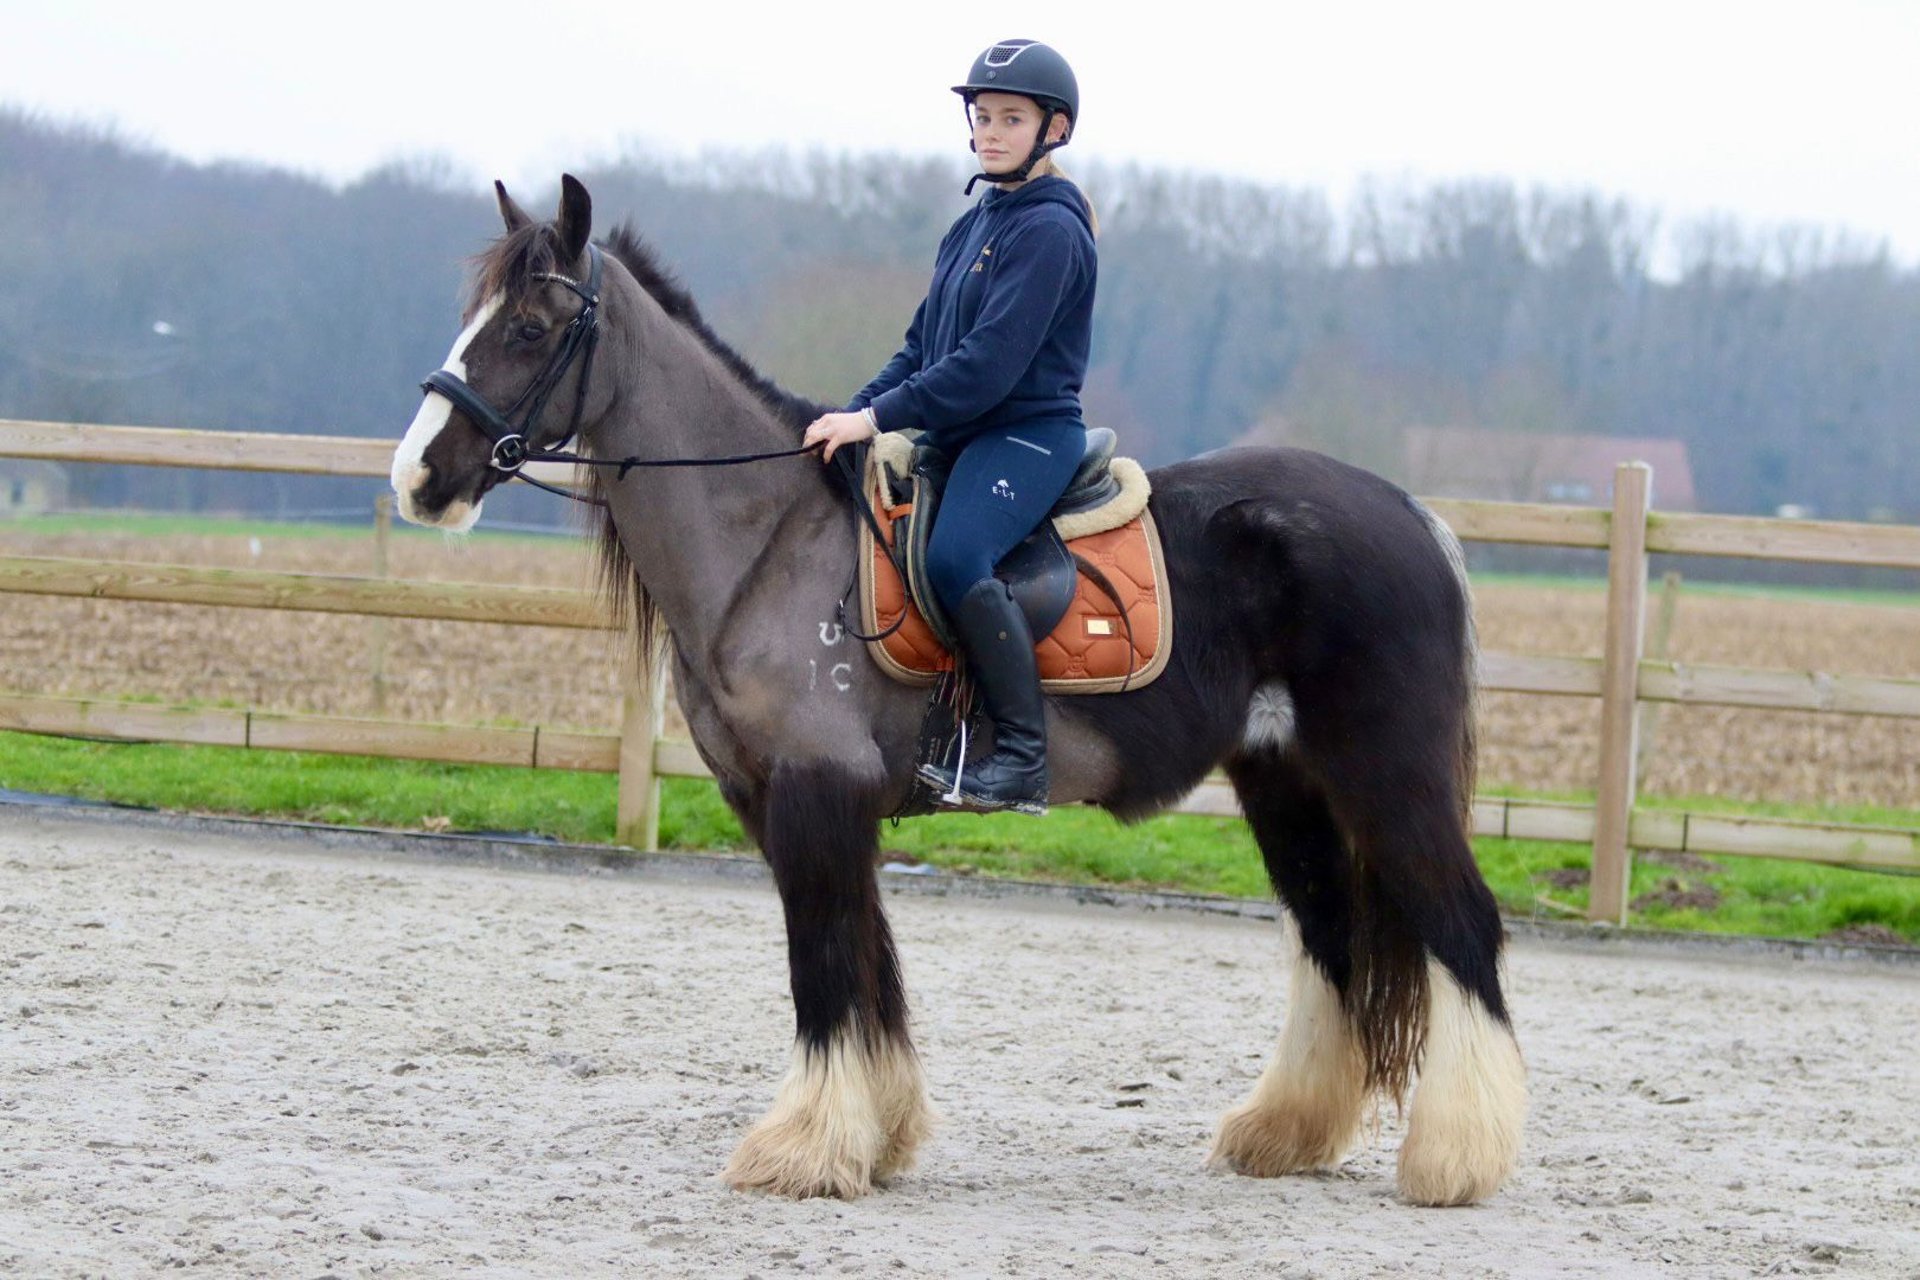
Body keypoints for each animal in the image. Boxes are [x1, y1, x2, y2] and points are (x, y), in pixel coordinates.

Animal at [390, 176, 1526, 1206]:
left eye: (530, 327)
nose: (416, 478)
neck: (773, 542)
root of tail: (1411, 513)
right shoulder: (786, 803)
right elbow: (869, 966)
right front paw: (876, 1134)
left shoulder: (817, 793)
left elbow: (825, 966)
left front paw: (805, 1148)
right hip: (1287, 782)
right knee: (1333, 935)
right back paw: (1286, 1131)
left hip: (1386, 774)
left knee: (1462, 926)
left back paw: (1456, 1159)